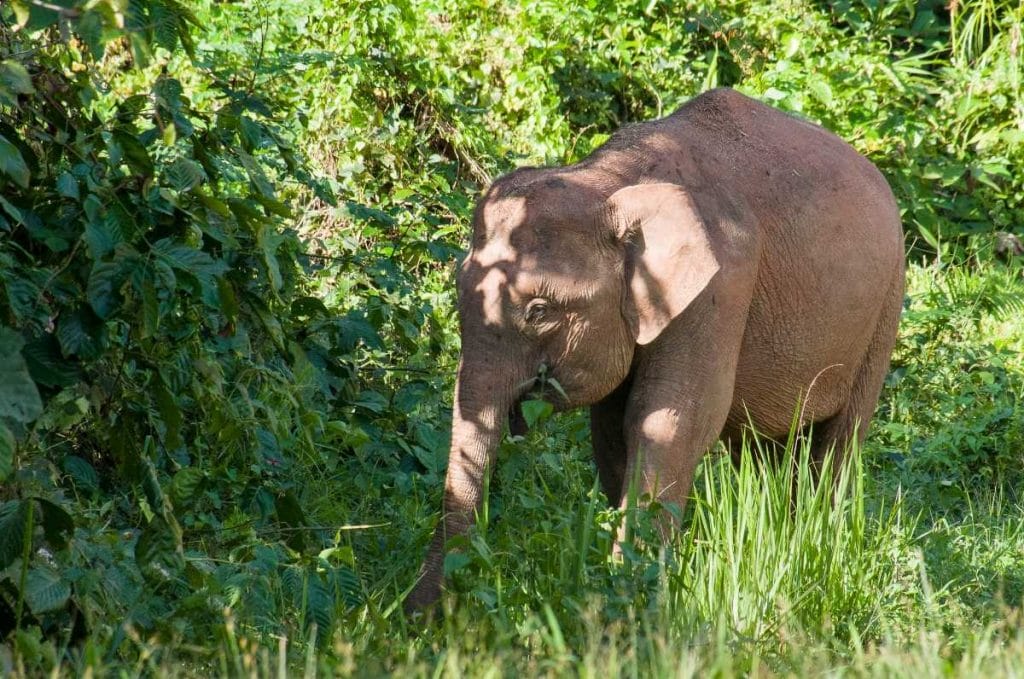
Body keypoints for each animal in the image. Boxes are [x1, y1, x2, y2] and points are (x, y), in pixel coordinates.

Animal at [406, 87, 905, 611]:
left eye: (539, 311)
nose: (419, 616)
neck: (607, 181)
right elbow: (612, 430)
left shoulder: (719, 287)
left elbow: (670, 420)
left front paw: (629, 597)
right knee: (764, 446)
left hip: (887, 305)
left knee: (838, 440)